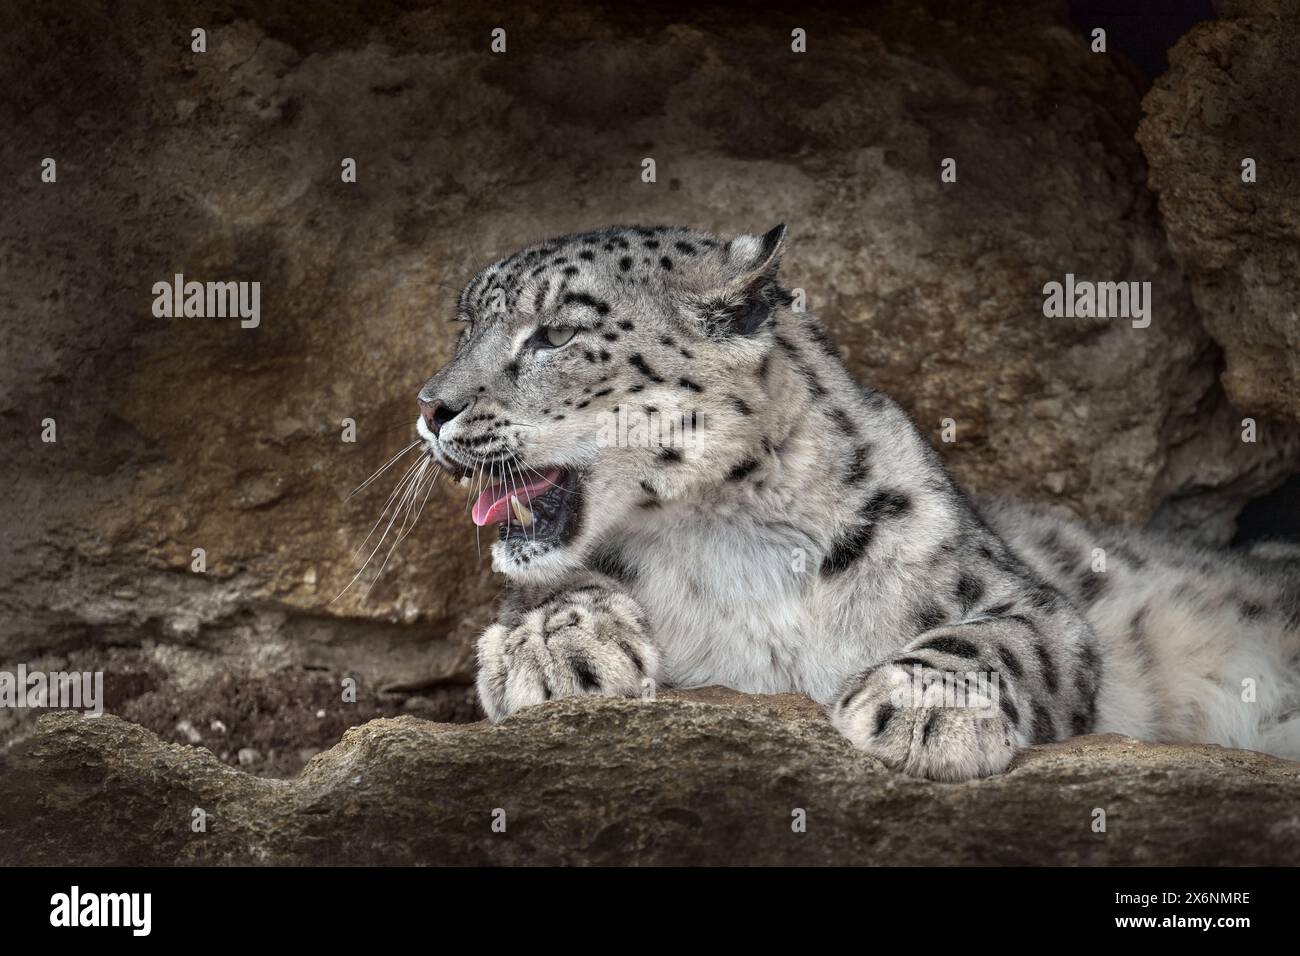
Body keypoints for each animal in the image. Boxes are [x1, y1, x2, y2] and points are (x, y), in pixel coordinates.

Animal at [414, 224, 1300, 781]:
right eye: (465, 329)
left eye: (558, 334)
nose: (431, 407)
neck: (723, 535)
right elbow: (536, 588)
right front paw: (555, 651)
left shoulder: (1032, 602)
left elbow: (1002, 636)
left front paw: (922, 709)